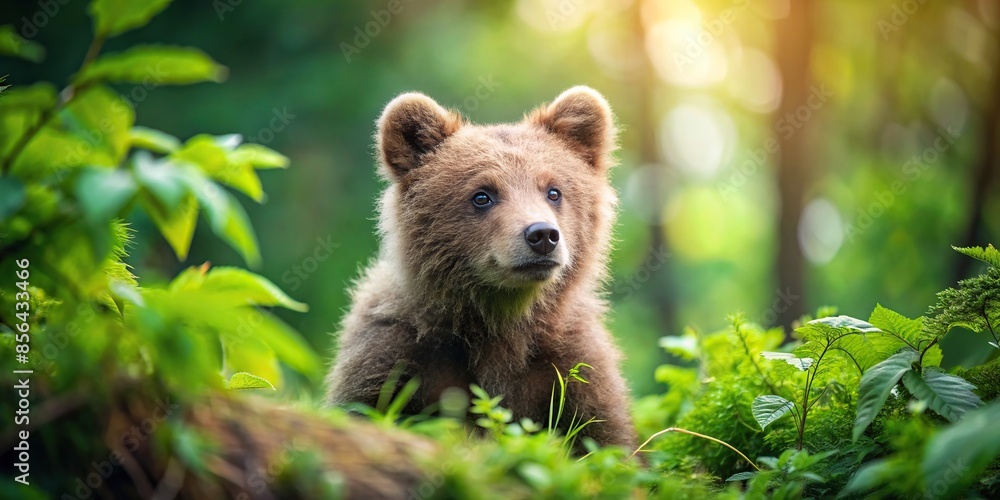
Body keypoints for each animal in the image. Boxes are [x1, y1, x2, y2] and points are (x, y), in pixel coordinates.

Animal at [325, 86, 637, 450]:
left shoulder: (572, 365)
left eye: (554, 191)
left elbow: (607, 436)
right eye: (482, 195)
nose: (542, 235)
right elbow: (364, 405)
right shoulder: (392, 354)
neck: (499, 323)